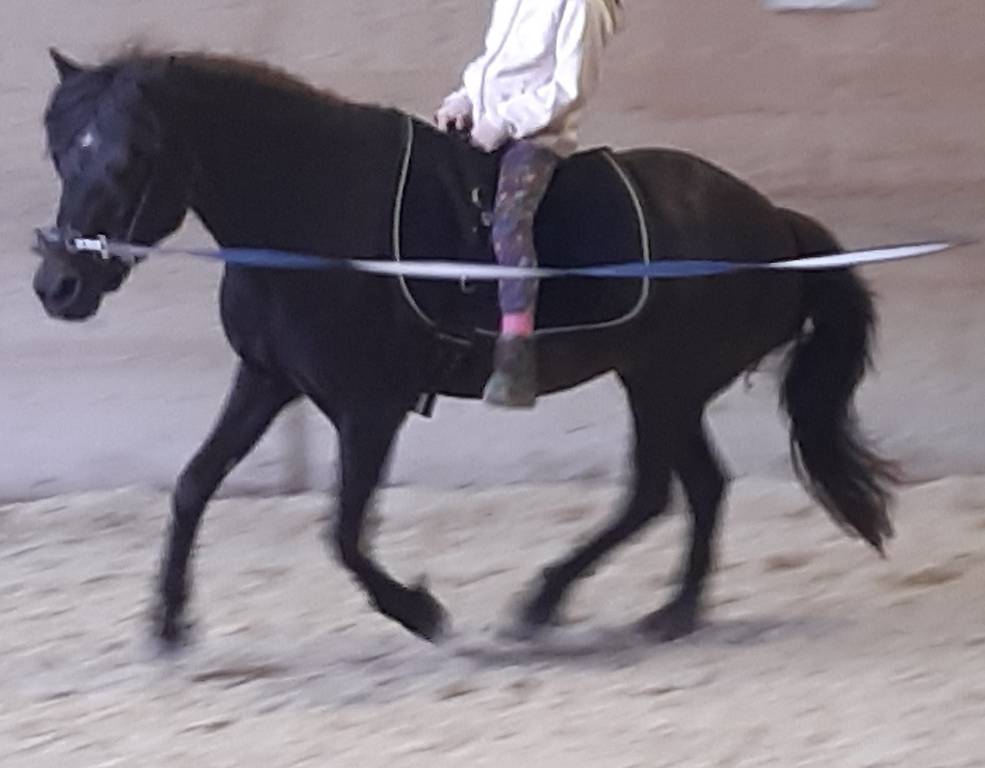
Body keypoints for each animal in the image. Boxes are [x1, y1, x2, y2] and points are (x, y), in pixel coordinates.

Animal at [33, 48, 896, 648]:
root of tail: (776, 223)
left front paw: (420, 611)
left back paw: (545, 603)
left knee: (653, 494)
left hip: (665, 387)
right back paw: (669, 611)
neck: (316, 214)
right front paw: (168, 622)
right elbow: (192, 486)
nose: (58, 286)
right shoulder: (267, 379)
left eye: (128, 157)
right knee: (700, 489)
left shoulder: (370, 407)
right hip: (659, 386)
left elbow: (343, 533)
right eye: (62, 154)